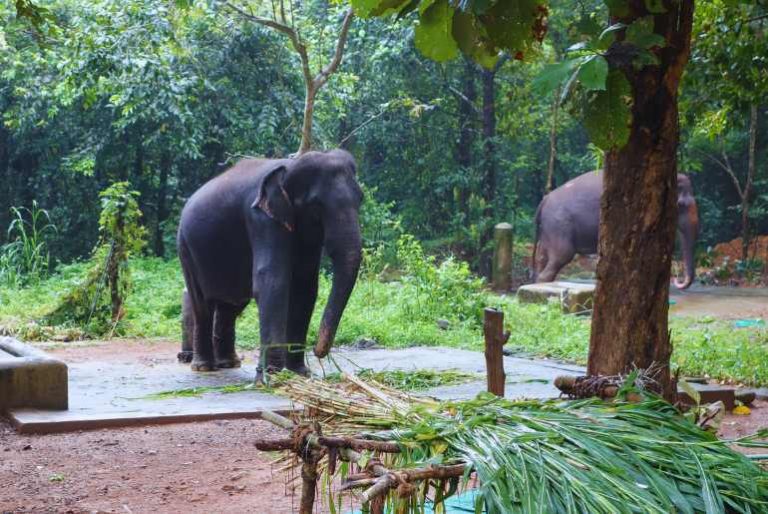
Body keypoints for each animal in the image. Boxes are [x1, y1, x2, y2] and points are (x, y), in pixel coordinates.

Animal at [177, 149, 363, 380]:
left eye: (361, 200)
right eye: (316, 205)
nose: (318, 352)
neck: (289, 167)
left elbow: (305, 287)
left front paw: (300, 374)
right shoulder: (260, 218)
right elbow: (272, 280)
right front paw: (271, 378)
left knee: (230, 305)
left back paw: (228, 363)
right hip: (186, 248)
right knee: (202, 303)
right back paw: (204, 367)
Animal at [532, 171, 699, 289]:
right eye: (681, 205)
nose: (677, 280)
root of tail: (544, 201)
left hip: (549, 228)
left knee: (542, 257)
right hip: (559, 224)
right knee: (562, 255)